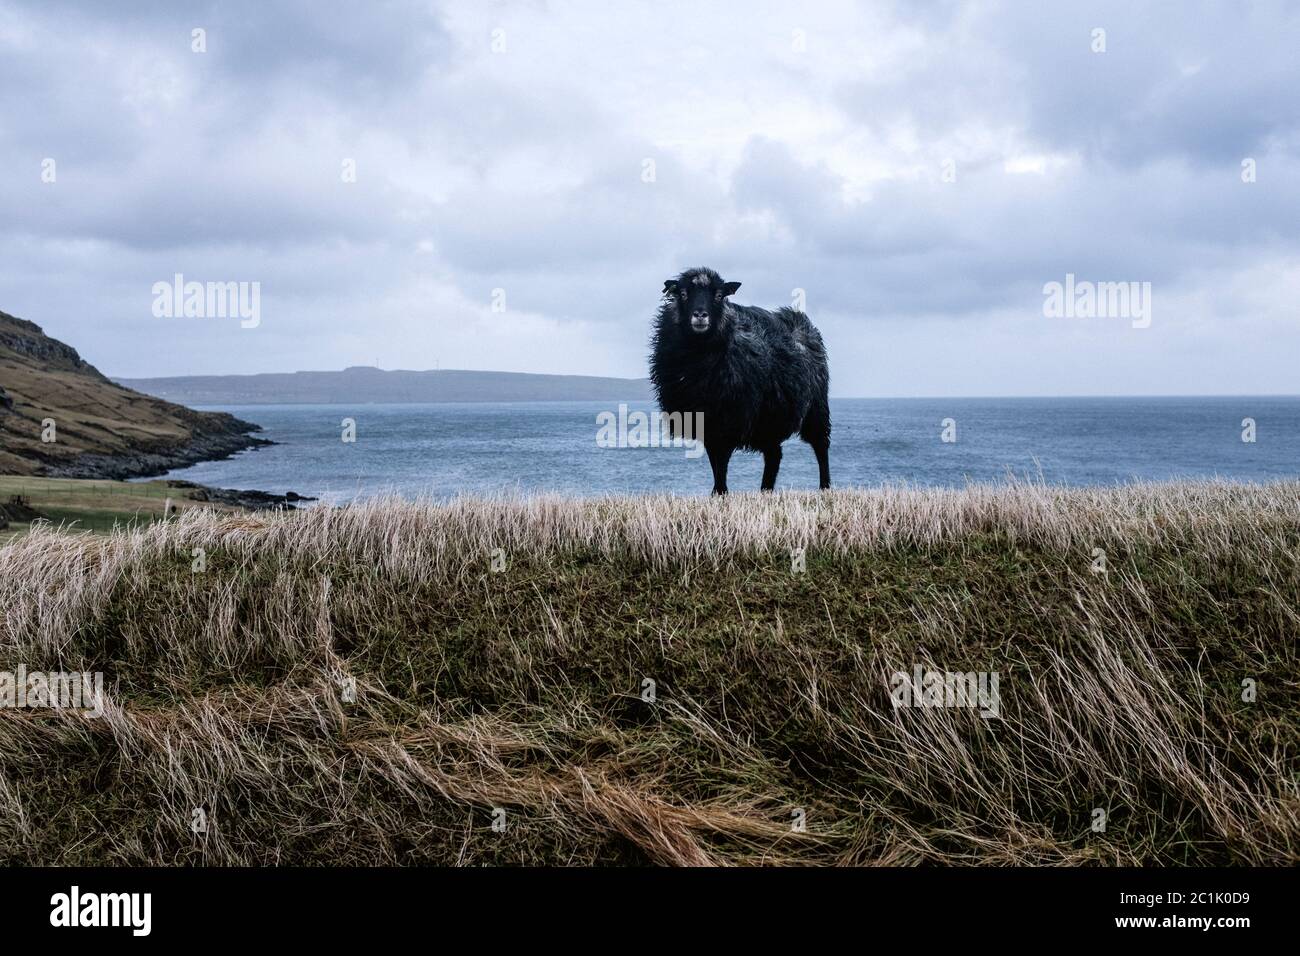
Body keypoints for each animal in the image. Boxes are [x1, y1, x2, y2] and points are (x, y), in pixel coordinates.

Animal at [649, 267, 831, 495]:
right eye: (683, 293)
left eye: (719, 295)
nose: (700, 315)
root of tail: (802, 321)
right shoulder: (705, 419)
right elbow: (714, 459)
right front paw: (718, 492)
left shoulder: (728, 416)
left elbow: (721, 459)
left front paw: (720, 492)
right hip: (768, 417)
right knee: (774, 454)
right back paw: (765, 490)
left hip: (816, 405)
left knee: (820, 445)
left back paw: (824, 486)